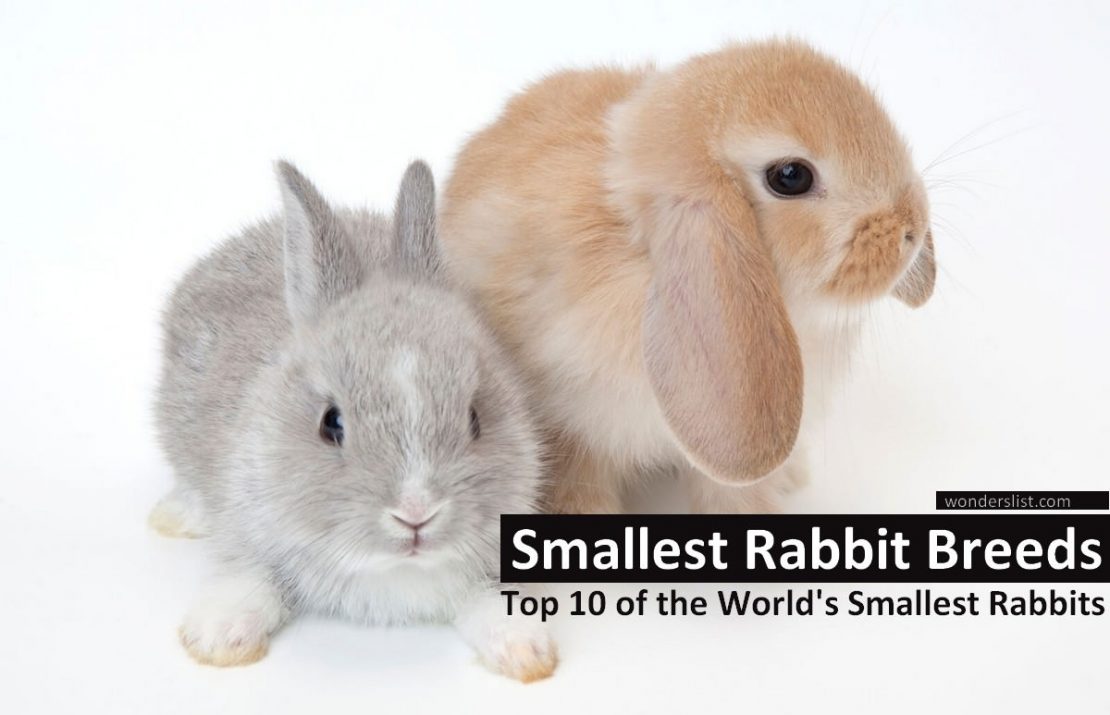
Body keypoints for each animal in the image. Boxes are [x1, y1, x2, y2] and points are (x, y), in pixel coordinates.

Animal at [149, 159, 557, 683]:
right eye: (331, 423)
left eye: (475, 418)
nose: (415, 514)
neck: (388, 568)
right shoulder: (248, 527)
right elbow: (248, 575)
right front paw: (218, 637)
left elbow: (493, 603)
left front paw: (527, 651)